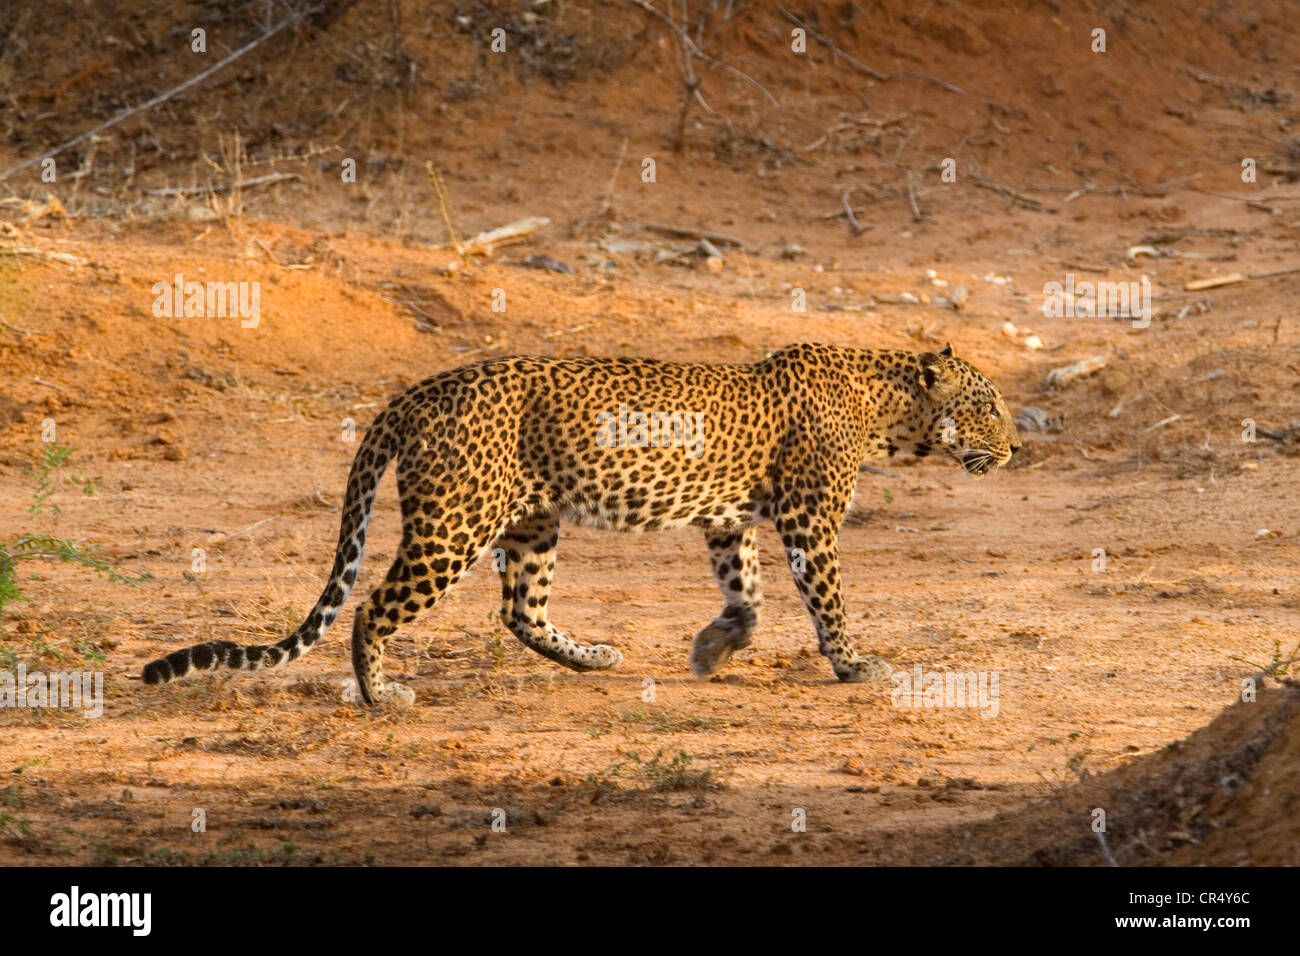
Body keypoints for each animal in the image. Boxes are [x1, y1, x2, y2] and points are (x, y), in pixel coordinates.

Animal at [143, 341, 1020, 706]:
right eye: (988, 405)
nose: (1018, 448)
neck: (886, 408)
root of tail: (421, 390)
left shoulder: (729, 518)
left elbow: (749, 594)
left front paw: (713, 649)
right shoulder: (810, 519)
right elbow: (825, 601)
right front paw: (855, 665)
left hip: (531, 522)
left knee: (519, 610)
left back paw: (594, 657)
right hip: (453, 525)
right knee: (372, 608)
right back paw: (381, 693)